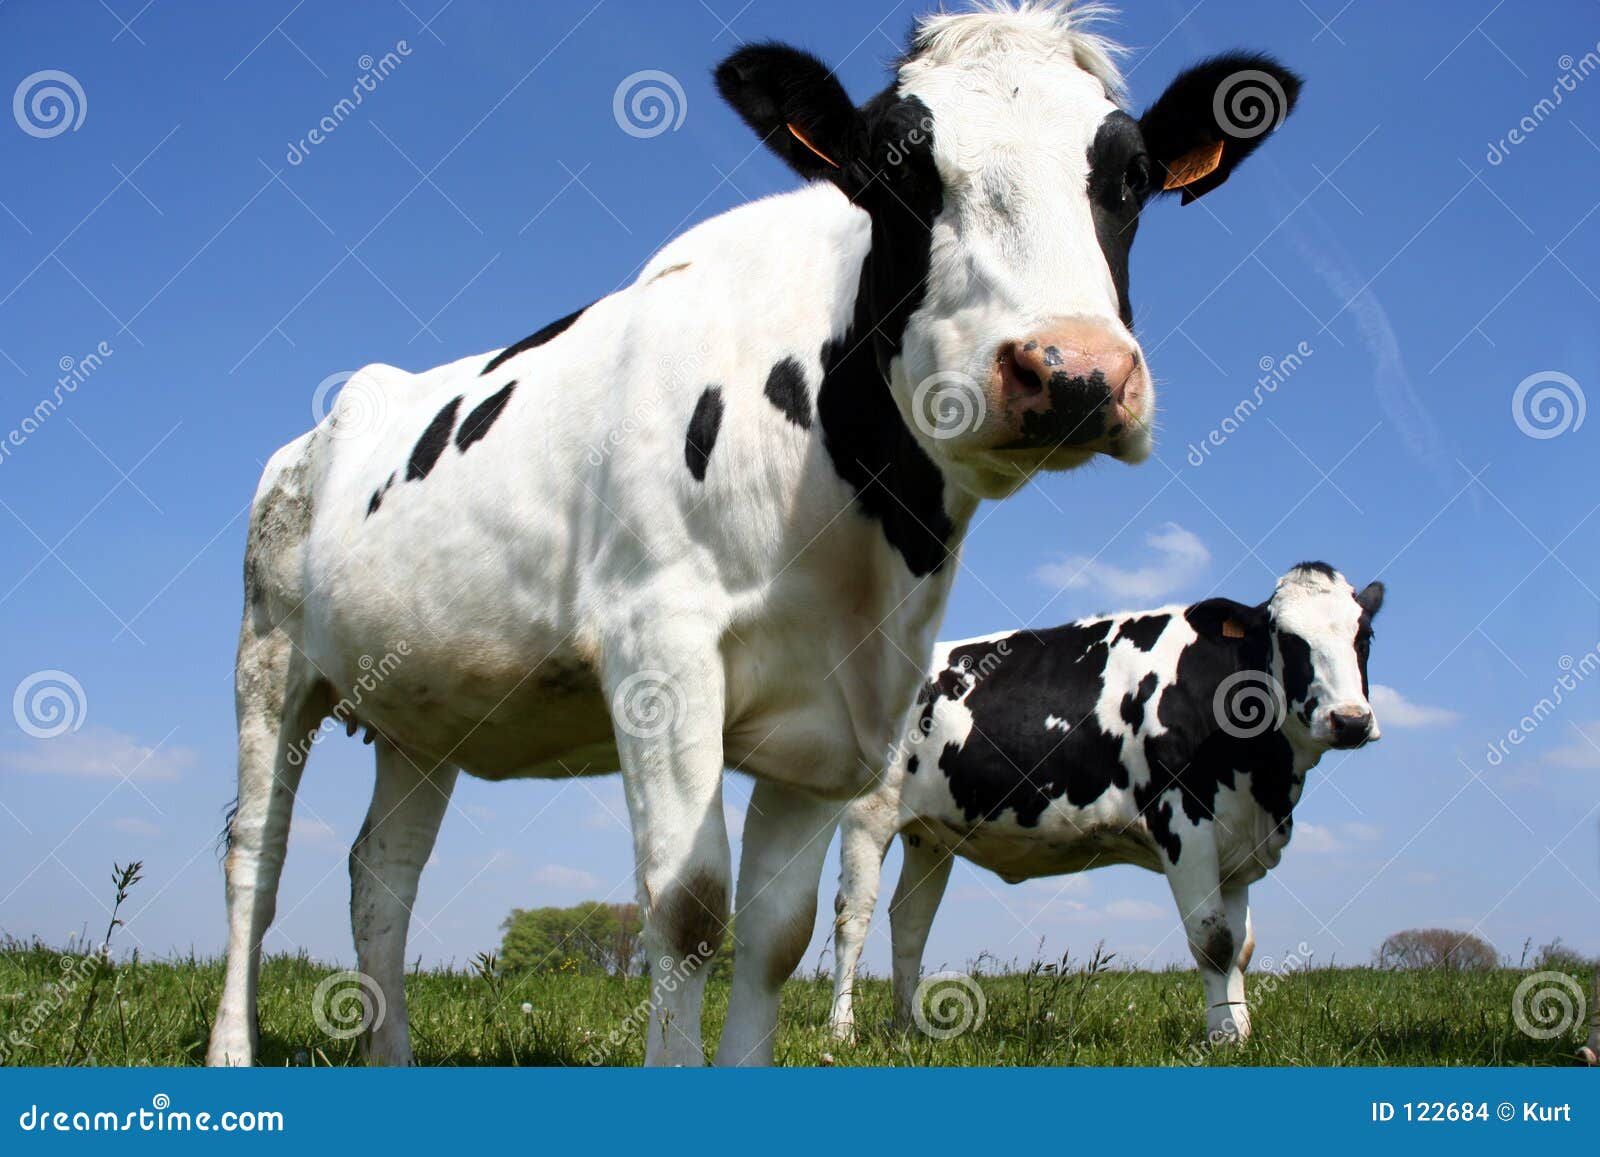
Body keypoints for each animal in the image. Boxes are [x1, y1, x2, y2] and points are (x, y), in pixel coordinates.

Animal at [208, 1, 1301, 1067]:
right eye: (896, 165)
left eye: (1131, 176)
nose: (1071, 371)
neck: (865, 530)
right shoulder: (659, 644)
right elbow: (689, 906)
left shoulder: (838, 713)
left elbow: (776, 932)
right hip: (271, 661)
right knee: (256, 857)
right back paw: (232, 1046)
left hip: (420, 706)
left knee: (381, 875)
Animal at [828, 562, 1382, 1046]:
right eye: (1286, 638)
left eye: (1365, 637)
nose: (1350, 721)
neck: (1267, 782)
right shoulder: (1185, 824)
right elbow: (1213, 943)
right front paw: (1222, 1038)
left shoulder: (1237, 842)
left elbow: (1240, 949)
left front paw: (1240, 1032)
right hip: (867, 816)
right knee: (853, 919)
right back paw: (842, 1031)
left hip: (931, 834)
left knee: (910, 921)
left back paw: (907, 1029)